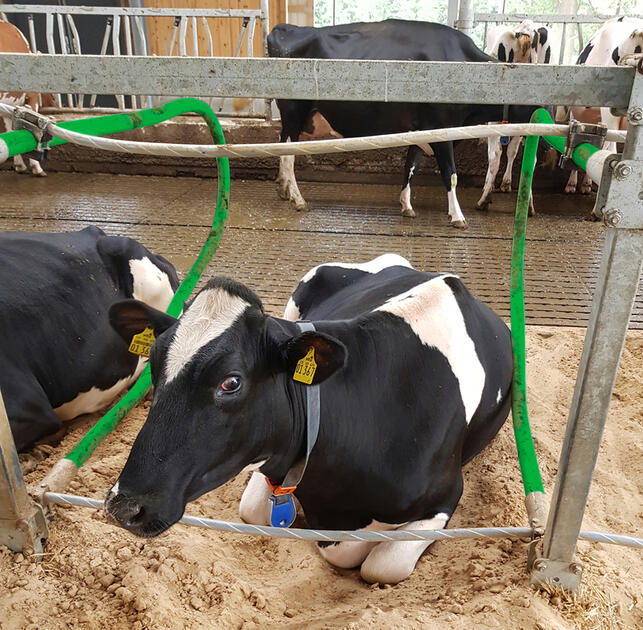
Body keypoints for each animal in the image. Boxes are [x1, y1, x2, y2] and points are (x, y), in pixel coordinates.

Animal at [105, 253, 513, 584]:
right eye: (154, 365)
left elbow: (381, 565)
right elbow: (254, 510)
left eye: (231, 382)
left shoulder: (446, 497)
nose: (123, 505)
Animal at [267, 19, 542, 228]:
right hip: (294, 112)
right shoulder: (441, 131)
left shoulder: (420, 131)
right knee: (288, 156)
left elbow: (411, 166)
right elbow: (450, 174)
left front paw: (406, 205)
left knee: (280, 148)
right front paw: (457, 215)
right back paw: (297, 199)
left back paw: (283, 189)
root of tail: (284, 28)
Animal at [477, 21, 552, 212]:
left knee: (495, 153)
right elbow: (513, 151)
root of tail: (526, 29)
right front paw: (506, 183)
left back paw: (484, 198)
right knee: (530, 157)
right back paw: (529, 203)